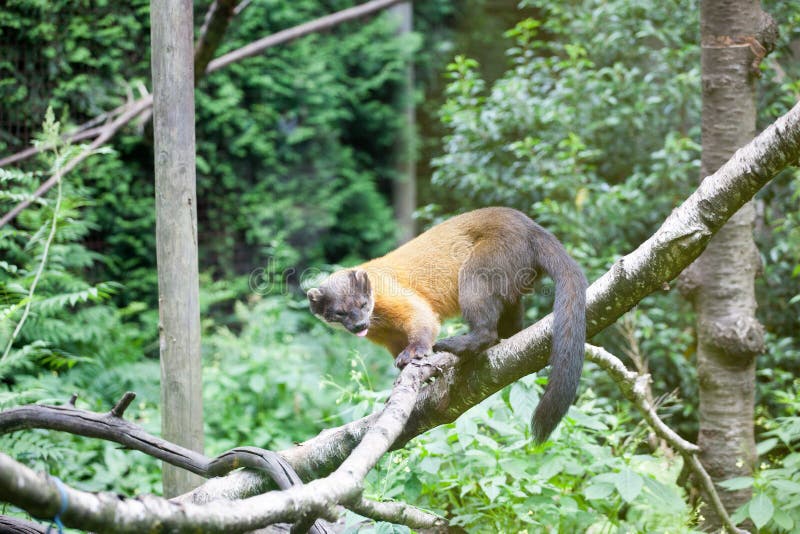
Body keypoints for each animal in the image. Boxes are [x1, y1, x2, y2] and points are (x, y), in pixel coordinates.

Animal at [307, 207, 587, 443]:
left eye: (363, 303)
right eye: (340, 313)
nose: (359, 325)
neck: (382, 324)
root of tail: (531, 226)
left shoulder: (401, 299)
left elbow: (423, 321)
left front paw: (415, 353)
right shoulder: (387, 339)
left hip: (477, 272)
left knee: (486, 330)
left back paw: (454, 343)